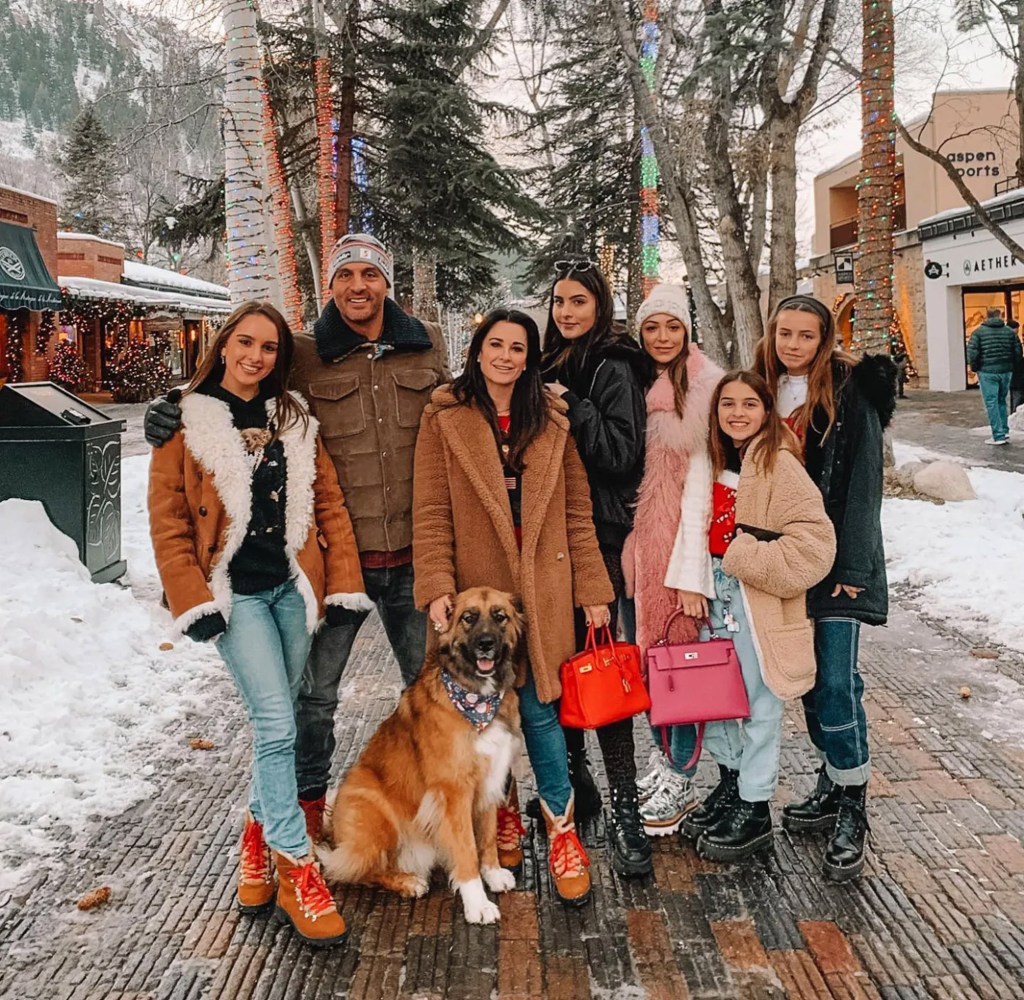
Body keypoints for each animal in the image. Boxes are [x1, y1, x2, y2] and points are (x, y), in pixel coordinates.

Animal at [319, 585, 524, 921]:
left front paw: (493, 873)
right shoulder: (454, 792)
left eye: (500, 616)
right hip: (375, 812)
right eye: (468, 618)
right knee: (353, 868)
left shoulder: (491, 777)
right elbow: (467, 848)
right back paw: (408, 881)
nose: (486, 644)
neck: (476, 700)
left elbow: (487, 835)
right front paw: (477, 903)